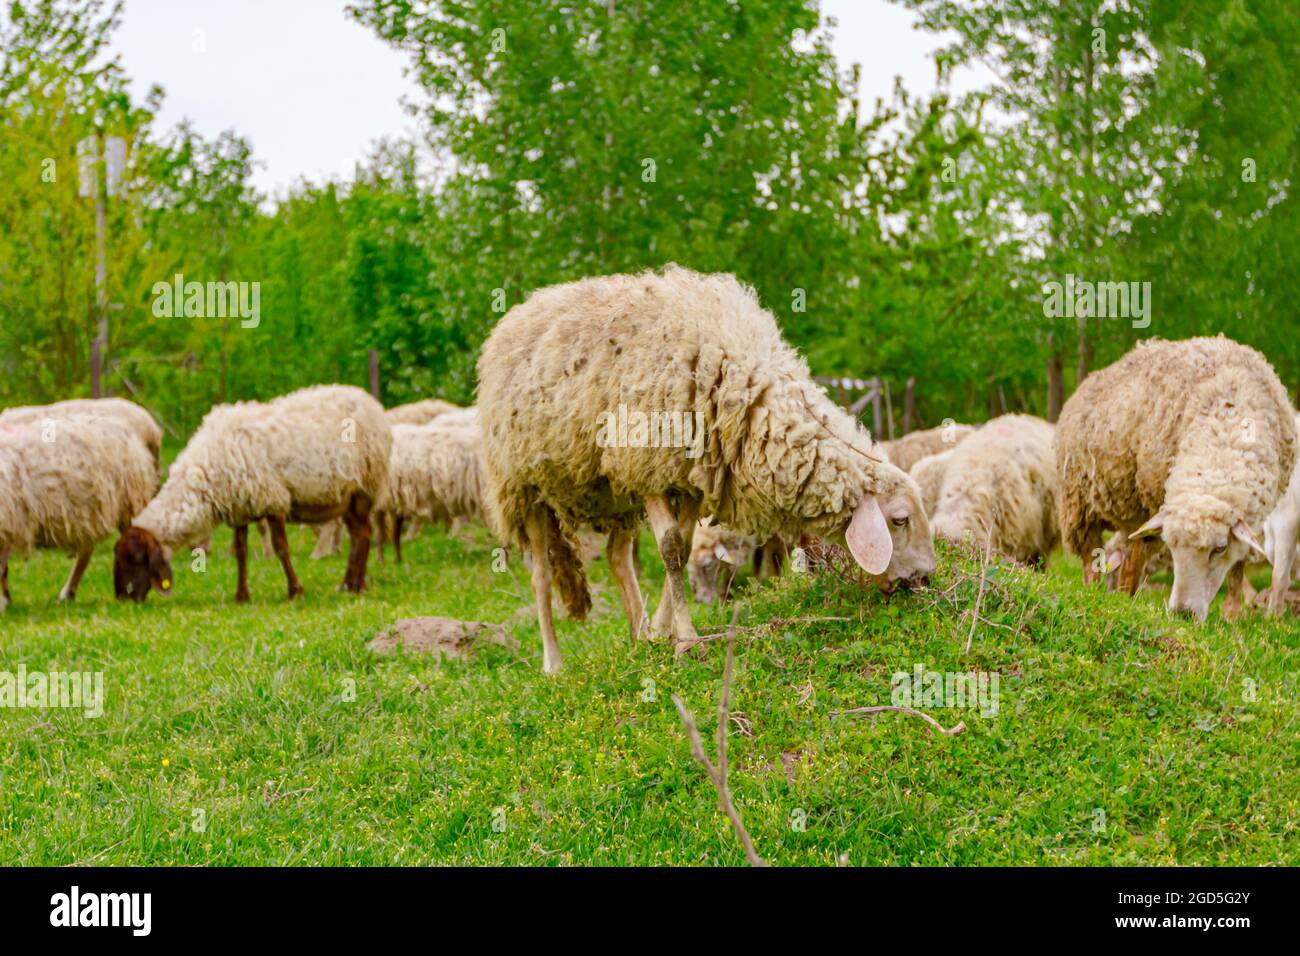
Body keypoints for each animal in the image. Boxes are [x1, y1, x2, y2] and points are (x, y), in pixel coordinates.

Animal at [0, 415, 158, 610]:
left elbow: (1, 569)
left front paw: (4, 603)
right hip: (88, 513)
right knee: (86, 552)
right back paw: (68, 593)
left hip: (128, 504)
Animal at [113, 384, 391, 603]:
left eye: (135, 558)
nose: (123, 598)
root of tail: (370, 402)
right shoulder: (240, 507)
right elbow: (241, 552)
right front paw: (241, 595)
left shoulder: (273, 500)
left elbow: (281, 548)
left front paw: (295, 591)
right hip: (348, 497)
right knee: (358, 534)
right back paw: (348, 584)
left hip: (364, 488)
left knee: (364, 534)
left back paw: (356, 586)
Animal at [477, 265, 935, 674]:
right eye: (900, 520)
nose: (926, 579)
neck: (743, 387)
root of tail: (523, 309)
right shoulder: (650, 464)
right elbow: (671, 550)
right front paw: (687, 641)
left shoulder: (696, 477)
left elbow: (680, 547)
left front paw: (665, 632)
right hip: (523, 486)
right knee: (540, 575)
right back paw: (553, 662)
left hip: (614, 489)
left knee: (618, 558)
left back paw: (640, 634)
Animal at [1056, 336, 1297, 621]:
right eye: (1171, 547)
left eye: (1220, 548)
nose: (1183, 613)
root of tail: (1094, 376)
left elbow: (1238, 565)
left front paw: (1232, 613)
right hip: (1080, 503)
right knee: (1094, 556)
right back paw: (1102, 591)